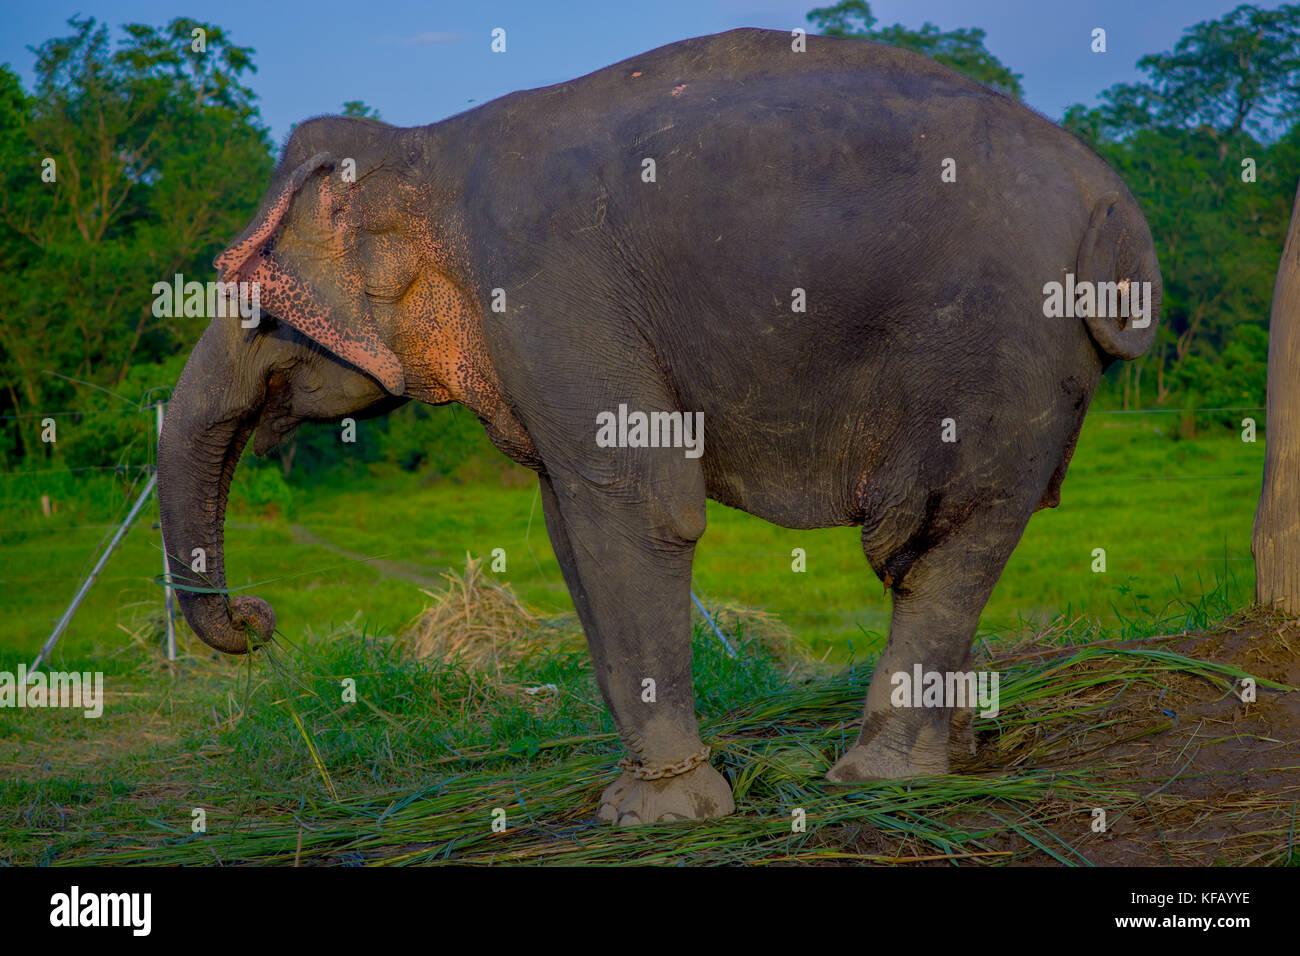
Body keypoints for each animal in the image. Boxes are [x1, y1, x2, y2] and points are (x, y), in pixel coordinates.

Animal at [157, 28, 1160, 825]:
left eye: (254, 306)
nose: (256, 620)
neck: (424, 144)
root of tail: (1114, 198)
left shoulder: (548, 289)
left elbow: (640, 505)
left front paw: (662, 814)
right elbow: (572, 527)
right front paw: (631, 796)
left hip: (994, 344)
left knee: (935, 541)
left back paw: (876, 780)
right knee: (966, 535)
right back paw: (951, 754)